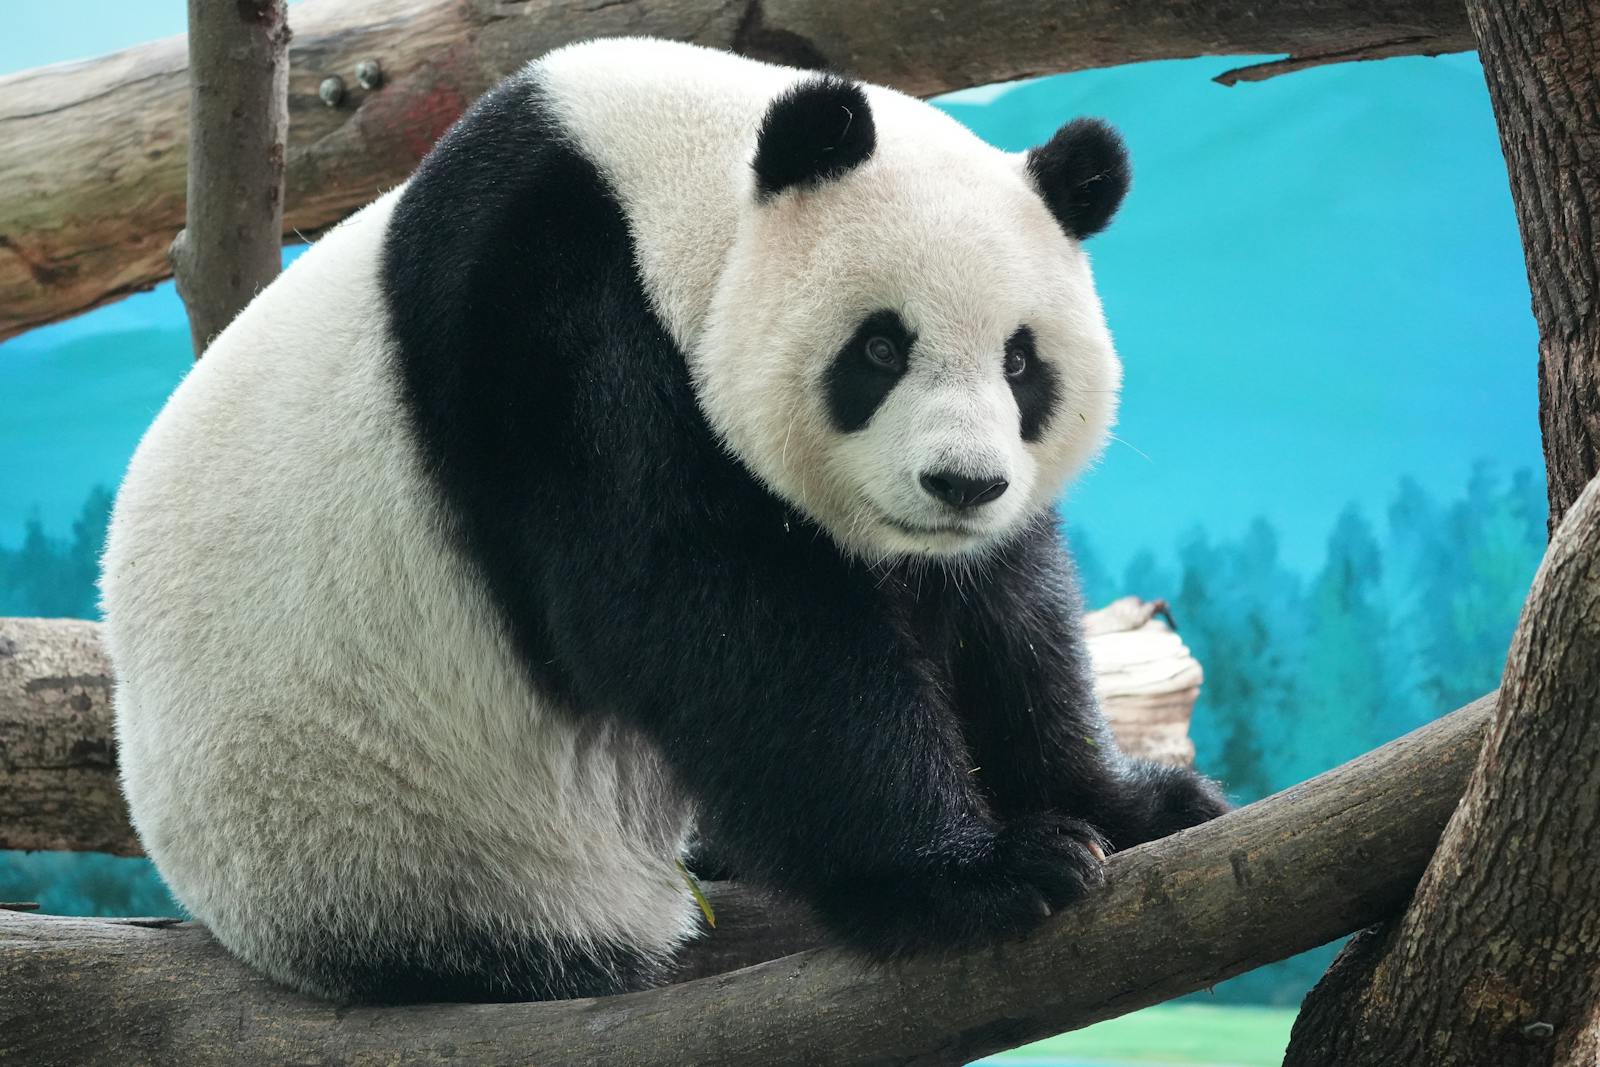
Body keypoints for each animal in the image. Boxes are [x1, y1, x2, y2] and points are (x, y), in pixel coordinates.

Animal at [101, 36, 1228, 1004]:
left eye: (1022, 362)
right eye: (879, 348)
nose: (962, 484)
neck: (664, 186)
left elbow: (1003, 616)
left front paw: (1128, 805)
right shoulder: (553, 324)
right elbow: (705, 614)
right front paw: (979, 871)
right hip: (396, 846)